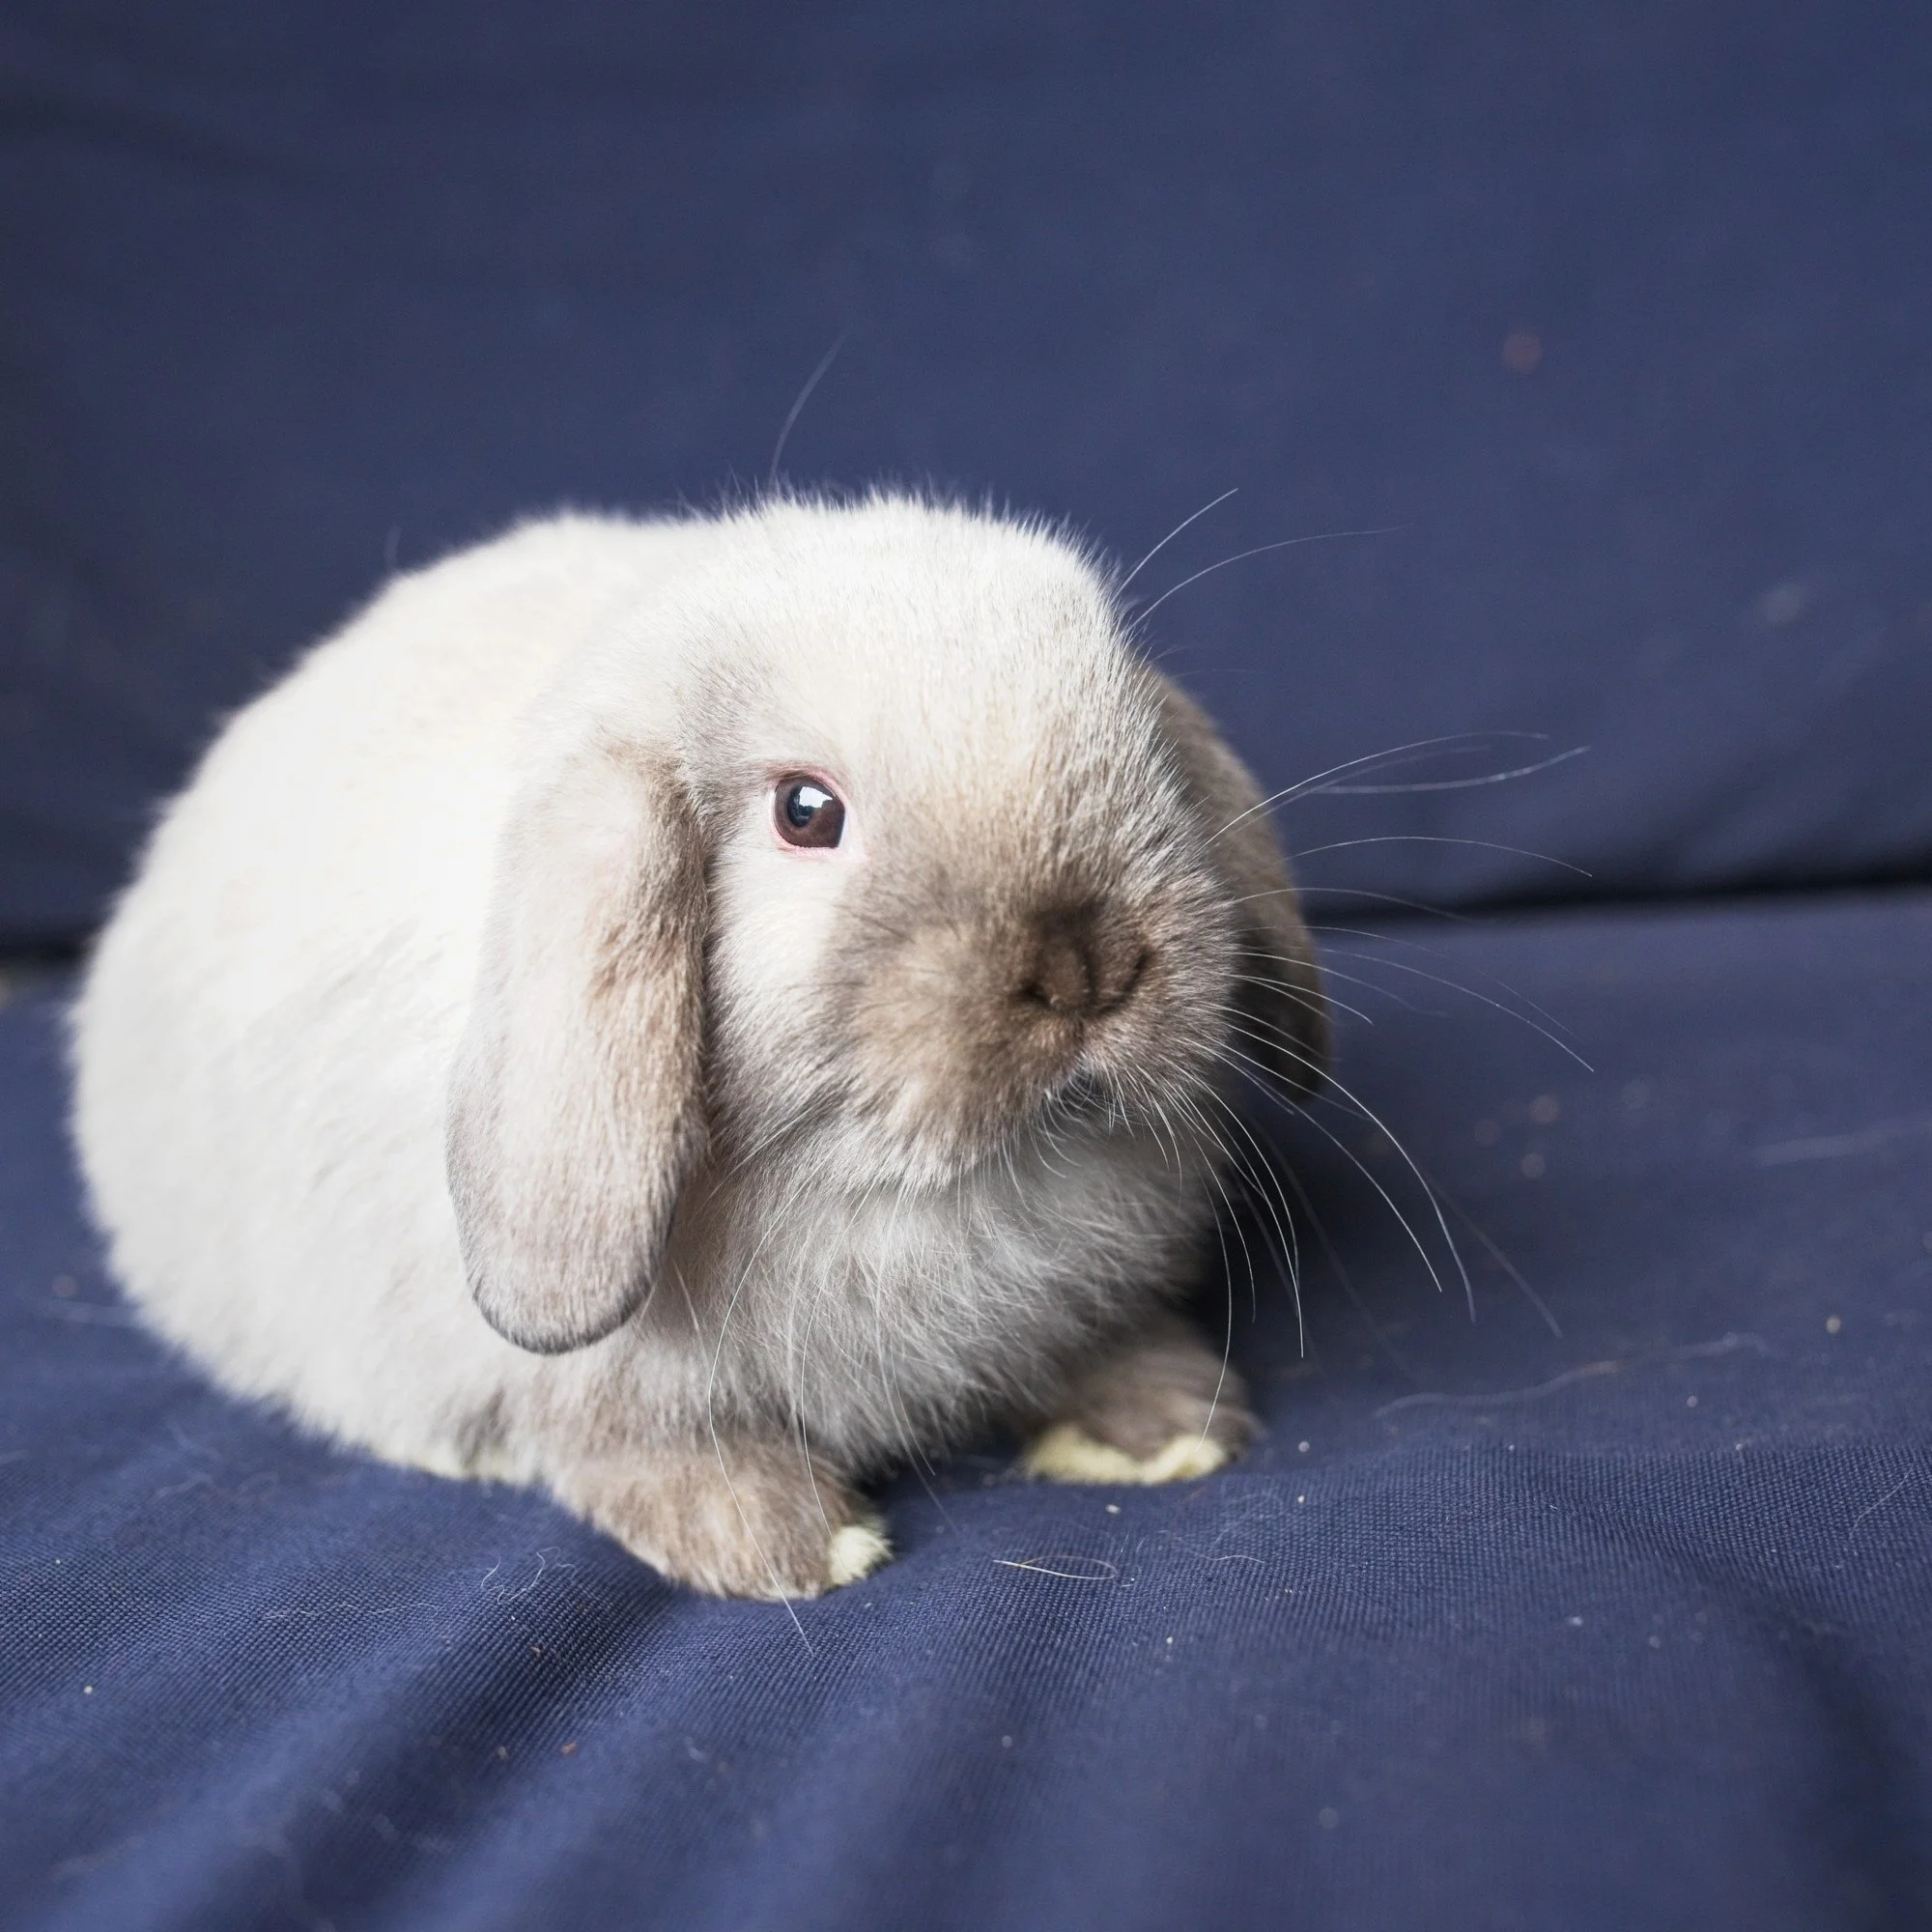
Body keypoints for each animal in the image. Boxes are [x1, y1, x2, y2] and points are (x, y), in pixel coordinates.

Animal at [69, 492, 1328, 1600]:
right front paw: (781, 1541)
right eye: (805, 812)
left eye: (1142, 751)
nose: (1085, 967)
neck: (917, 1194)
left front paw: (1171, 1422)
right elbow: (631, 1445)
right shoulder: (594, 1383)